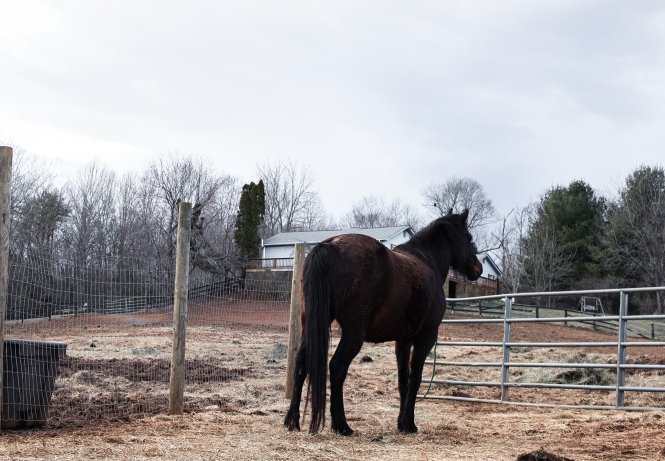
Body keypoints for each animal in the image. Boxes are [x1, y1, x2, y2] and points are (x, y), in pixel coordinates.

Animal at [284, 209, 483, 435]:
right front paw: (410, 424)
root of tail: (330, 245)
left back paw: (292, 421)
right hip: (354, 334)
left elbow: (403, 380)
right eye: (469, 238)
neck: (427, 262)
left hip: (311, 324)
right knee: (337, 367)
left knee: (301, 363)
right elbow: (415, 378)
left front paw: (402, 423)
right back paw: (342, 425)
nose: (478, 269)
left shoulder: (403, 341)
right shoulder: (426, 337)